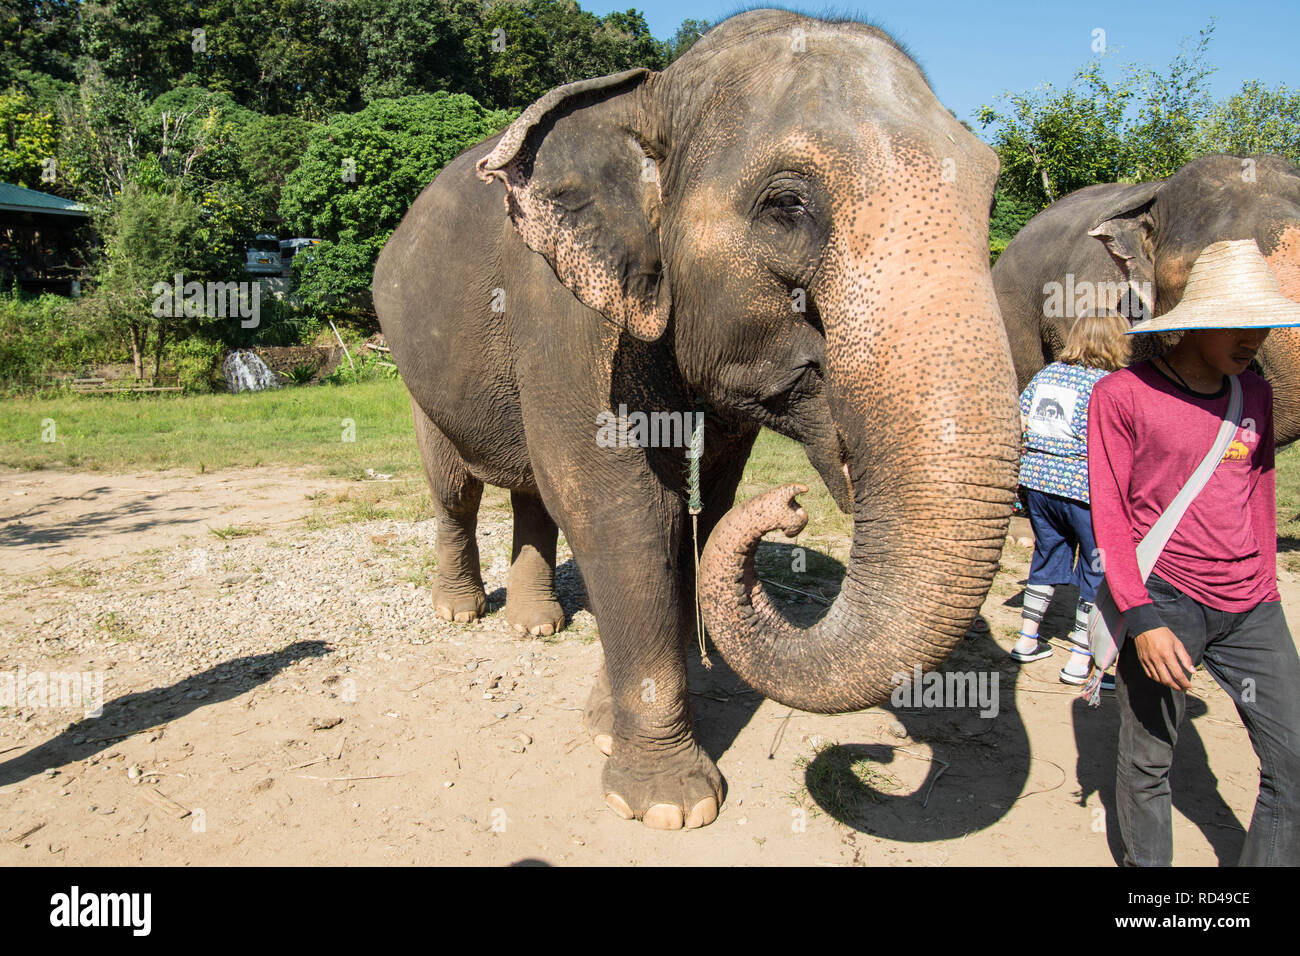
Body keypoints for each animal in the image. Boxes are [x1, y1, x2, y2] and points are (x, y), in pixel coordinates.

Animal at [373, 9, 1019, 830]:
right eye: (787, 206)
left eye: (990, 196)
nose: (792, 504)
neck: (659, 88)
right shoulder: (560, 308)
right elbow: (624, 508)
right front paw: (669, 805)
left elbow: (702, 506)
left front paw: (603, 724)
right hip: (413, 369)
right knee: (455, 488)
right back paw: (463, 614)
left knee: (533, 490)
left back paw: (536, 624)